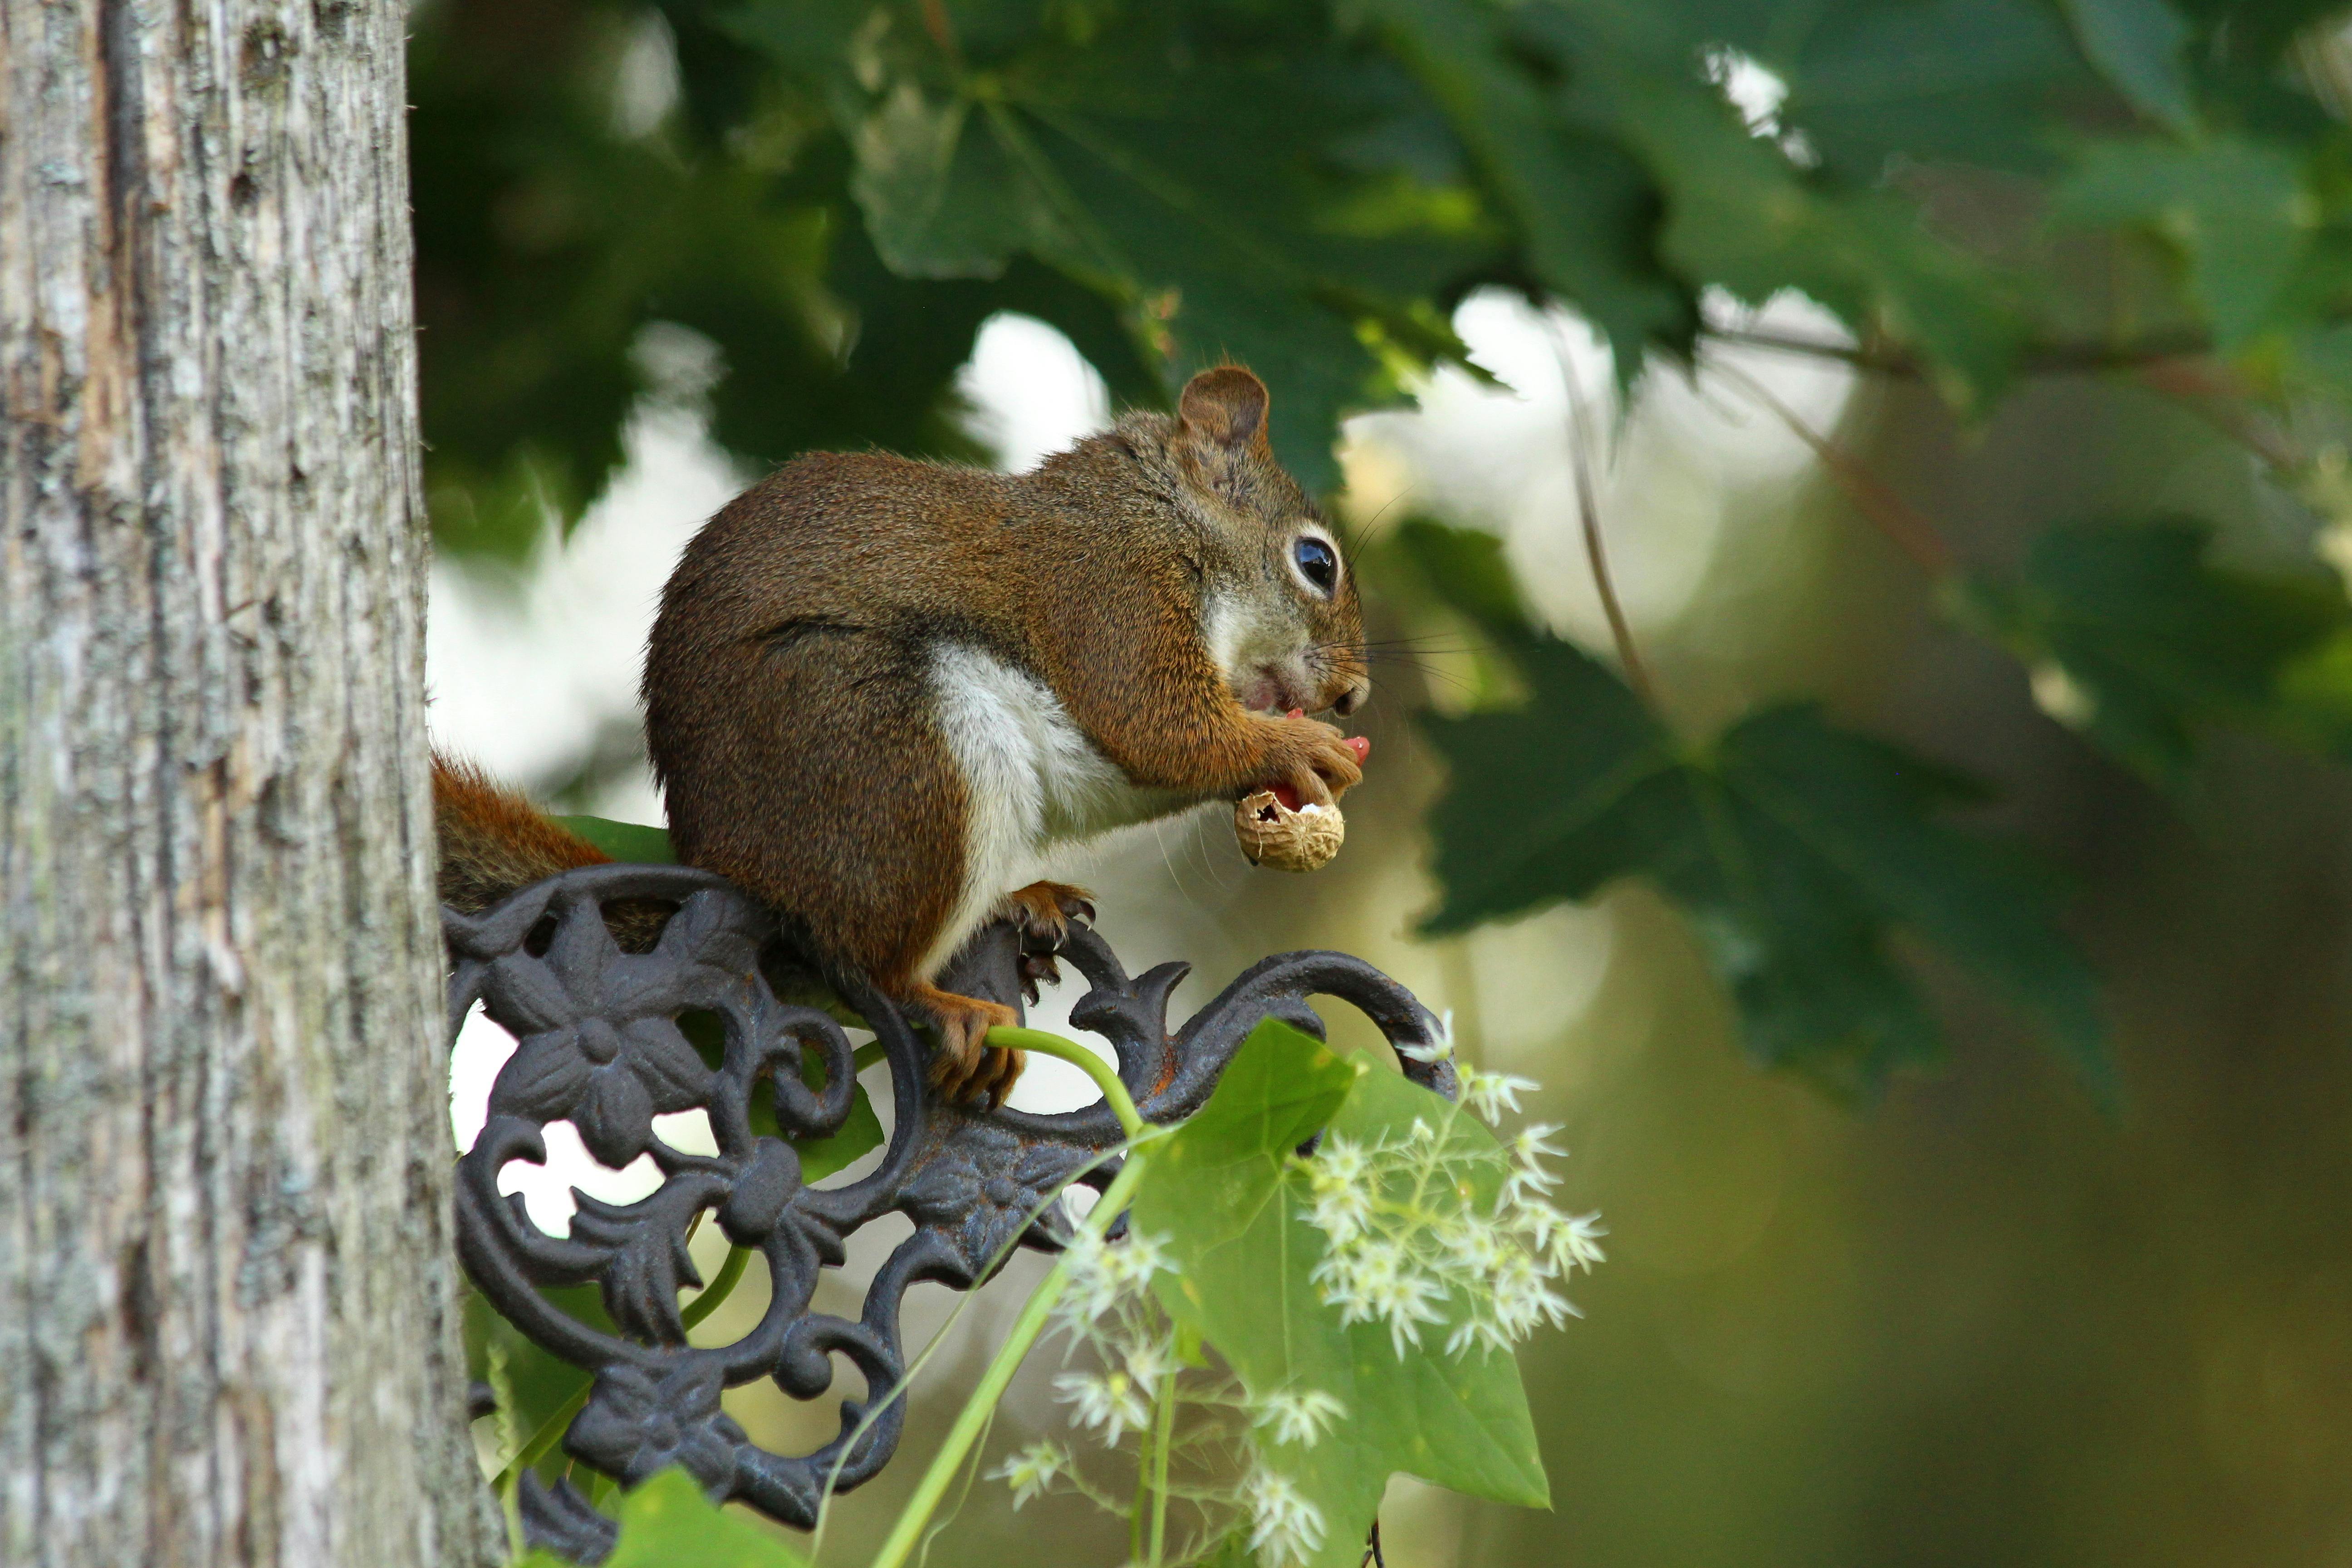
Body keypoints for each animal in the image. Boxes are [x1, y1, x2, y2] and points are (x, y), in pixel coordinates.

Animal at [435, 366, 1368, 1105]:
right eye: (1315, 563)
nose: (1354, 697)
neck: (1161, 518)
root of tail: (747, 875)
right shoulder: (1110, 592)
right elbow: (1154, 724)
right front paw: (1300, 750)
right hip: (904, 756)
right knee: (860, 965)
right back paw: (940, 1002)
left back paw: (1019, 902)